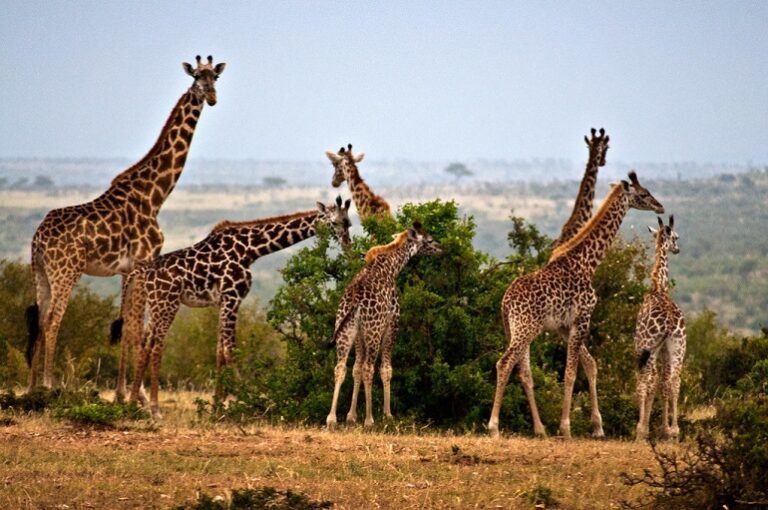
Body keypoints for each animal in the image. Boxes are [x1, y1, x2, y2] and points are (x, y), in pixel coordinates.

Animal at [25, 55, 226, 391]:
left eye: (216, 78)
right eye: (197, 77)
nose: (211, 98)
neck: (154, 195)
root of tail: (38, 239)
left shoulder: (127, 269)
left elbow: (126, 327)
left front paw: (125, 393)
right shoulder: (144, 260)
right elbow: (135, 328)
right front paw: (137, 394)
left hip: (40, 270)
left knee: (39, 319)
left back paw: (30, 389)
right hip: (66, 270)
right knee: (53, 319)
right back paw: (49, 385)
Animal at [122, 198, 352, 419]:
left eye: (348, 223)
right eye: (334, 223)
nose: (347, 244)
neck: (251, 249)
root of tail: (143, 272)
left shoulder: (223, 301)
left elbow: (219, 352)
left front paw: (216, 407)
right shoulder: (233, 296)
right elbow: (229, 351)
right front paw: (246, 400)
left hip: (155, 305)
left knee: (144, 344)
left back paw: (132, 404)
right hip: (168, 303)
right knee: (156, 345)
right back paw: (154, 409)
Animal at [326, 221, 442, 430]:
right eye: (429, 240)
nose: (440, 248)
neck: (392, 267)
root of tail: (354, 301)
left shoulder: (359, 334)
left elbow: (355, 368)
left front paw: (351, 416)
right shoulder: (392, 323)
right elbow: (386, 369)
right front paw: (388, 415)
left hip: (345, 331)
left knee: (341, 367)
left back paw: (331, 419)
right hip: (373, 331)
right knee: (369, 368)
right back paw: (370, 419)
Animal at [488, 172, 664, 438]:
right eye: (643, 194)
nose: (660, 206)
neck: (587, 262)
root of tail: (505, 301)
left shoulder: (564, 326)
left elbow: (590, 364)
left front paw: (598, 427)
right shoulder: (583, 317)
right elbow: (571, 372)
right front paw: (566, 427)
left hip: (519, 328)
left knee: (524, 371)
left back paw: (540, 429)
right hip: (526, 327)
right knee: (505, 362)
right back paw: (494, 427)